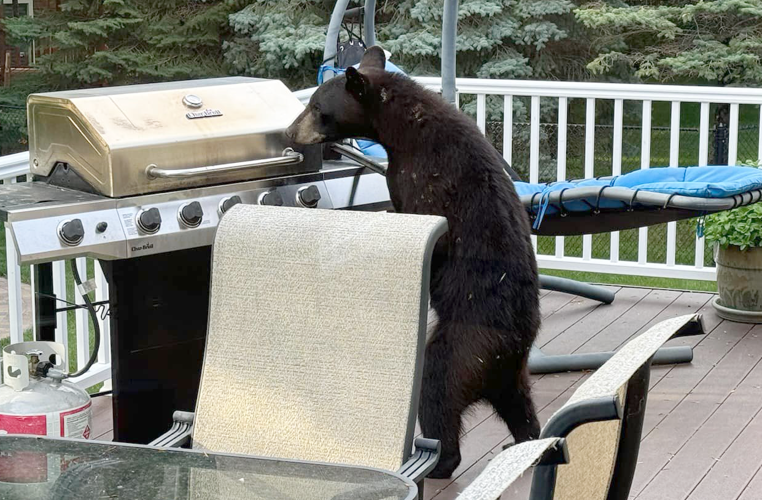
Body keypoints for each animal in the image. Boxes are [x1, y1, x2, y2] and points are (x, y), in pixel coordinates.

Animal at [285, 46, 541, 479]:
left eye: (317, 107)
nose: (289, 132)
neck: (404, 130)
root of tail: (508, 354)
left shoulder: (429, 178)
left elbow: (425, 225)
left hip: (464, 348)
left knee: (437, 392)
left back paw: (440, 461)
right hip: (512, 374)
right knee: (522, 408)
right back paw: (526, 440)